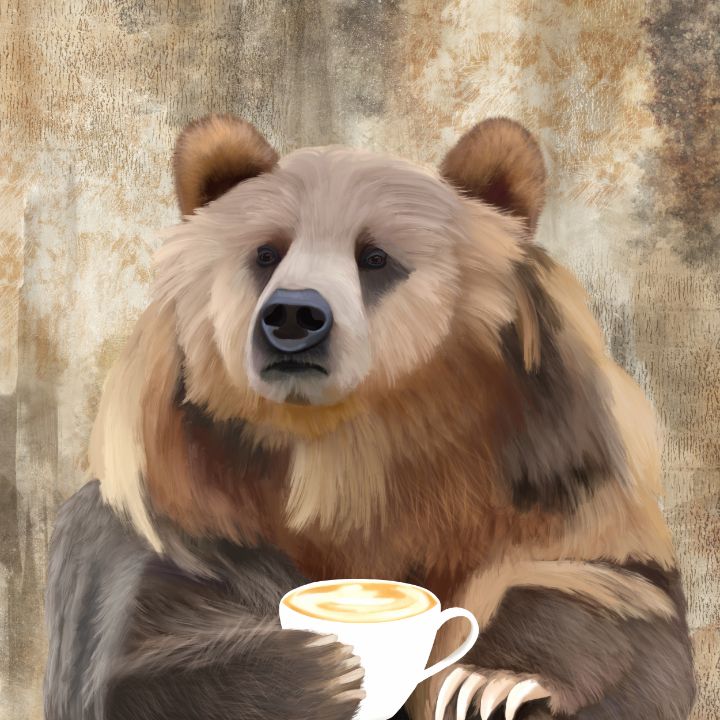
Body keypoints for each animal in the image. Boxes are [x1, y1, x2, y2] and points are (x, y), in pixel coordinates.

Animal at [43, 114, 696, 720]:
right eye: (266, 253)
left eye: (375, 257)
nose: (294, 316)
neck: (348, 453)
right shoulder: (179, 525)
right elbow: (130, 664)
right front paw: (327, 669)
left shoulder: (553, 491)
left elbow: (618, 600)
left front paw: (491, 680)